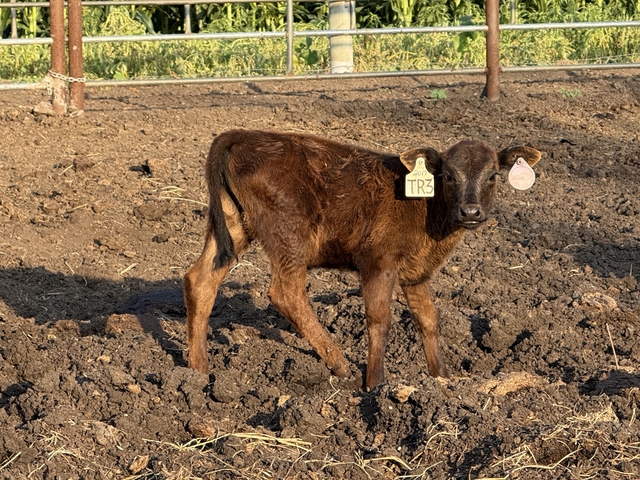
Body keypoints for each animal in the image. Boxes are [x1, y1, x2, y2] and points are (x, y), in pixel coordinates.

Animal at [184, 129, 541, 390]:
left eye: (493, 175)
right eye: (448, 176)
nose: (470, 212)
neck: (426, 206)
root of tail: (241, 136)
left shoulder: (416, 272)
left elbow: (427, 318)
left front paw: (441, 377)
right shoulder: (378, 261)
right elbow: (379, 319)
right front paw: (376, 383)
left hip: (232, 224)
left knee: (200, 280)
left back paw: (197, 370)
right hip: (288, 234)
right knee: (286, 293)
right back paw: (340, 364)